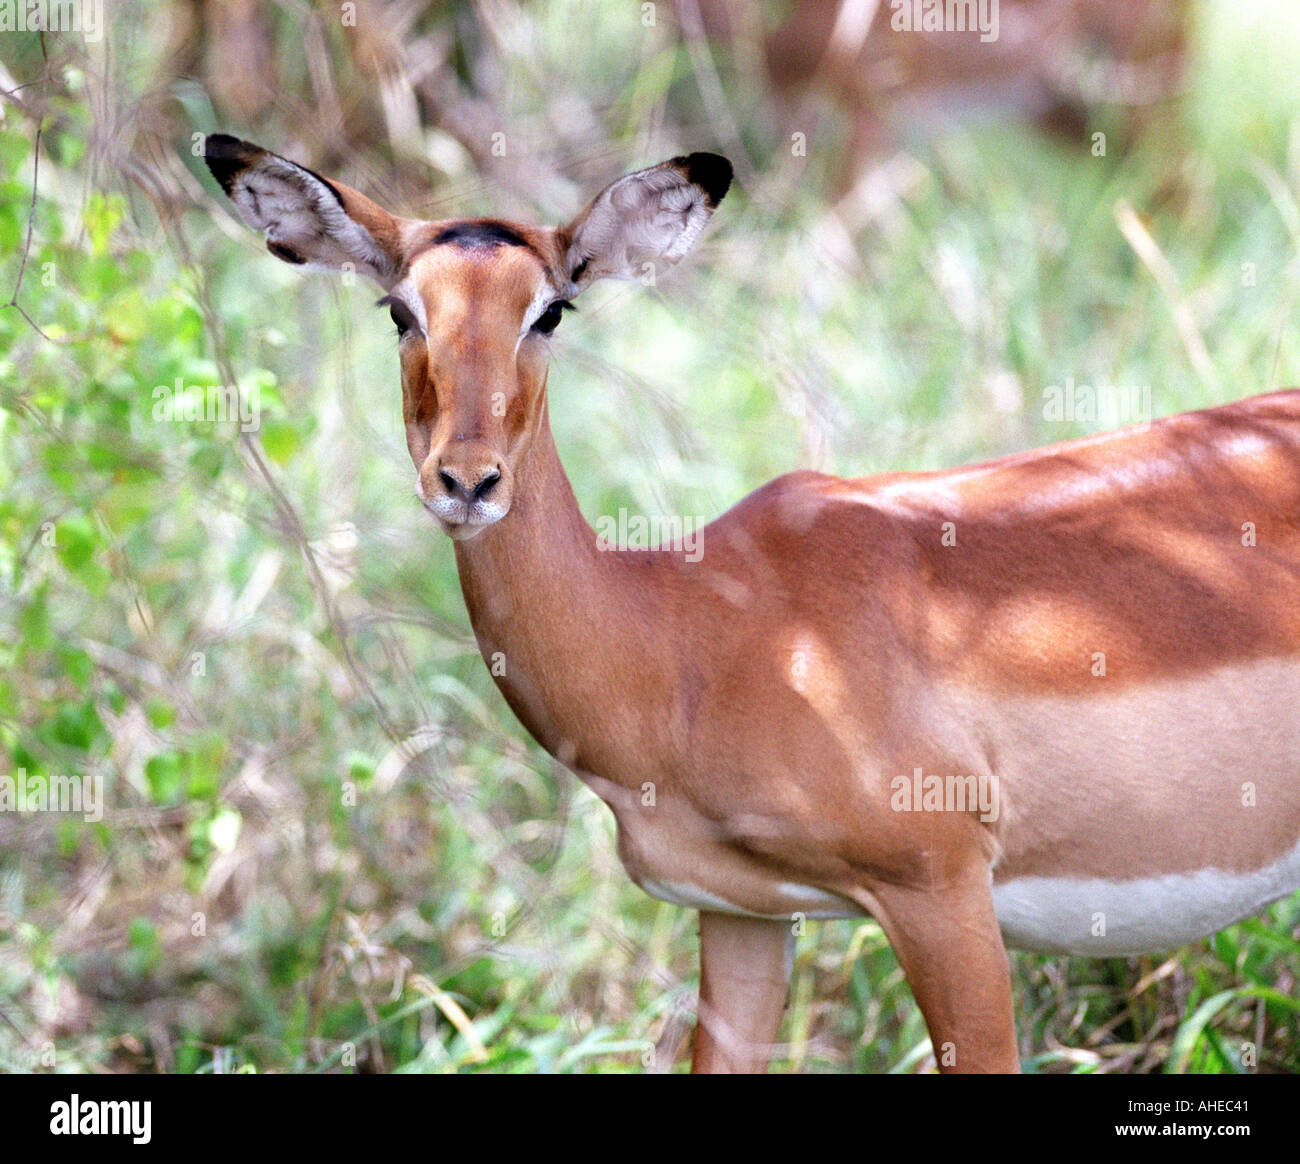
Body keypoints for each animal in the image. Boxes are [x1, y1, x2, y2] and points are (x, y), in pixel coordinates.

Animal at [204, 133, 1300, 1073]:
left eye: (549, 309)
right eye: (400, 310)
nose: (465, 481)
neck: (691, 634)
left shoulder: (939, 890)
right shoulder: (740, 913)